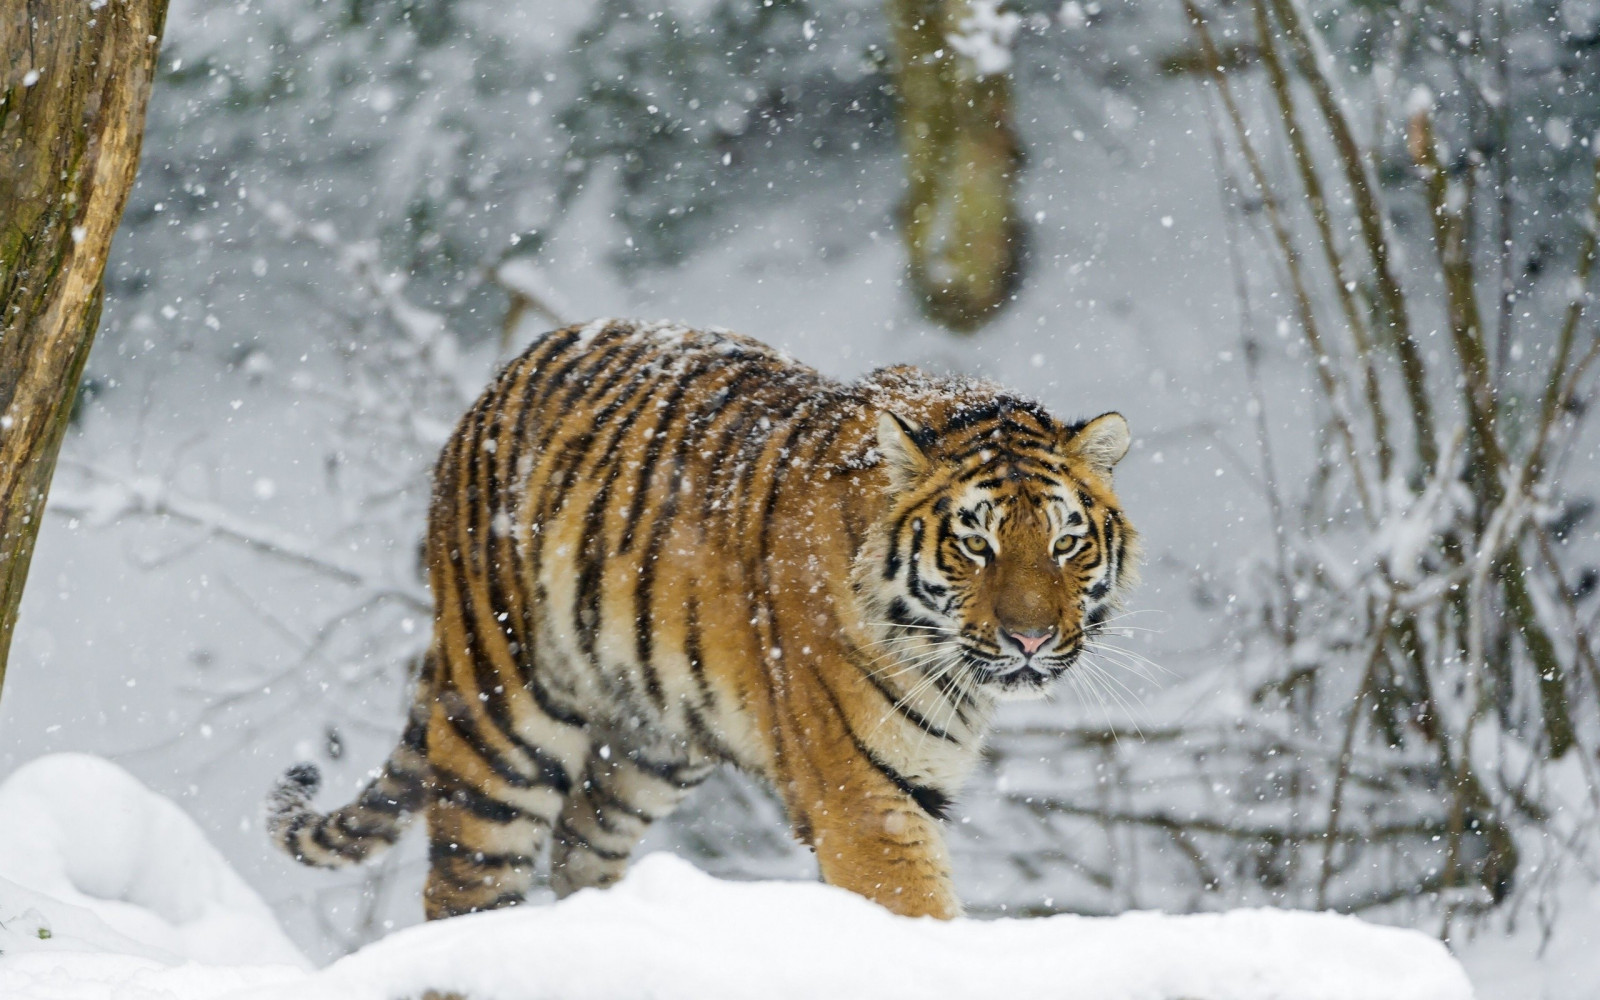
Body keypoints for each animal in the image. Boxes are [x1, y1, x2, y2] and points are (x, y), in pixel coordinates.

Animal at [267, 318, 1137, 921]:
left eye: (1065, 543)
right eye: (974, 544)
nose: (1030, 638)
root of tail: (492, 388)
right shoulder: (867, 802)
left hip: (644, 748)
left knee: (579, 849)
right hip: (502, 723)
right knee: (463, 889)